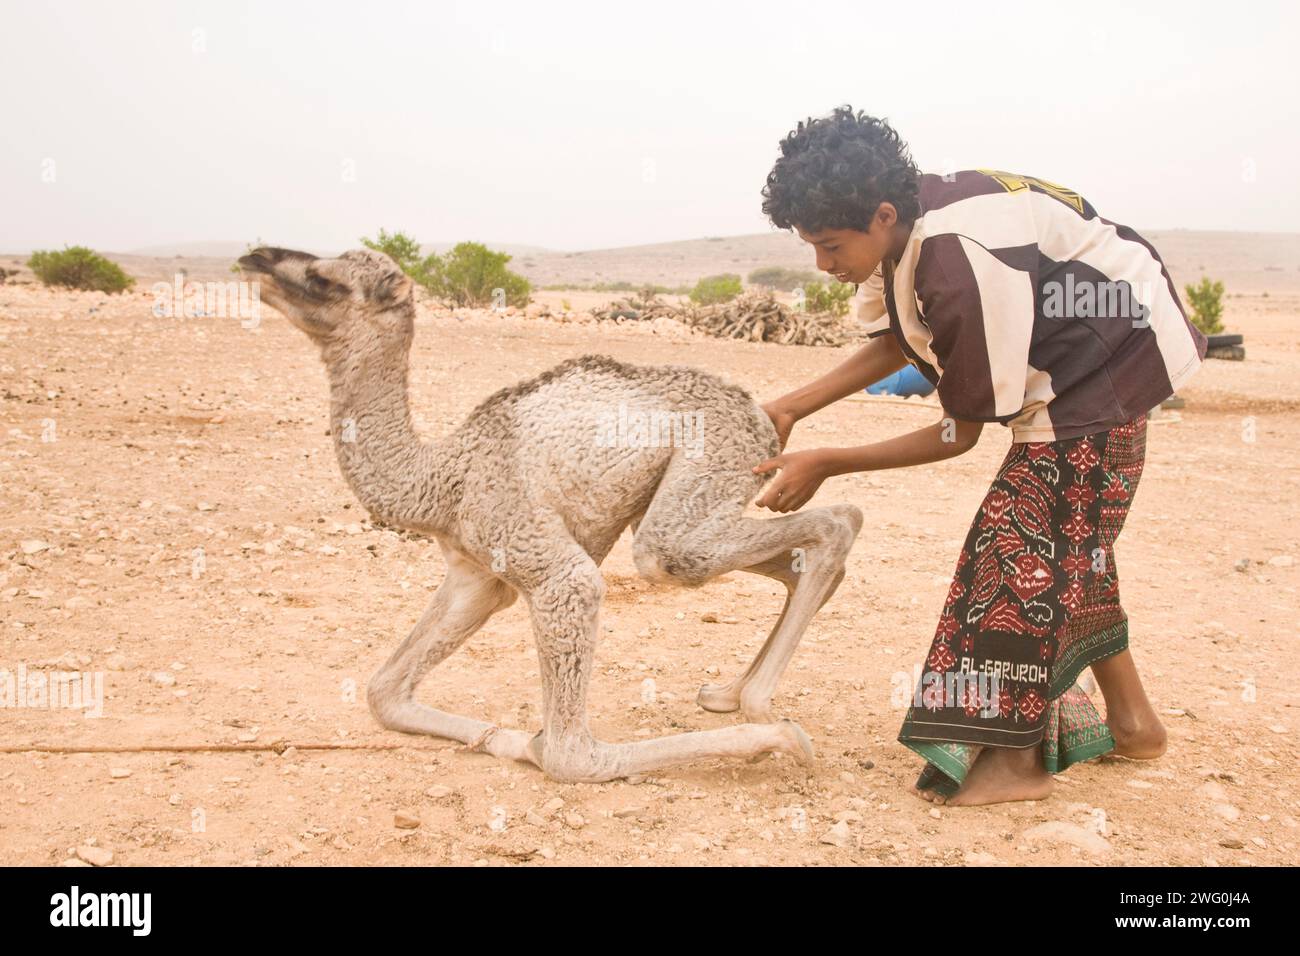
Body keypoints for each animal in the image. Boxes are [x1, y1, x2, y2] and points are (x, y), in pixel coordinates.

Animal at [237, 246, 863, 782]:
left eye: (326, 279)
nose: (255, 259)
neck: (439, 481)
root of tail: (762, 417)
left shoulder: (548, 566)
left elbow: (569, 755)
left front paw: (781, 740)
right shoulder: (475, 577)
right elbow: (383, 692)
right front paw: (504, 739)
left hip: (706, 477)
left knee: (830, 521)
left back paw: (760, 708)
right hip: (683, 506)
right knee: (795, 555)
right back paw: (733, 693)